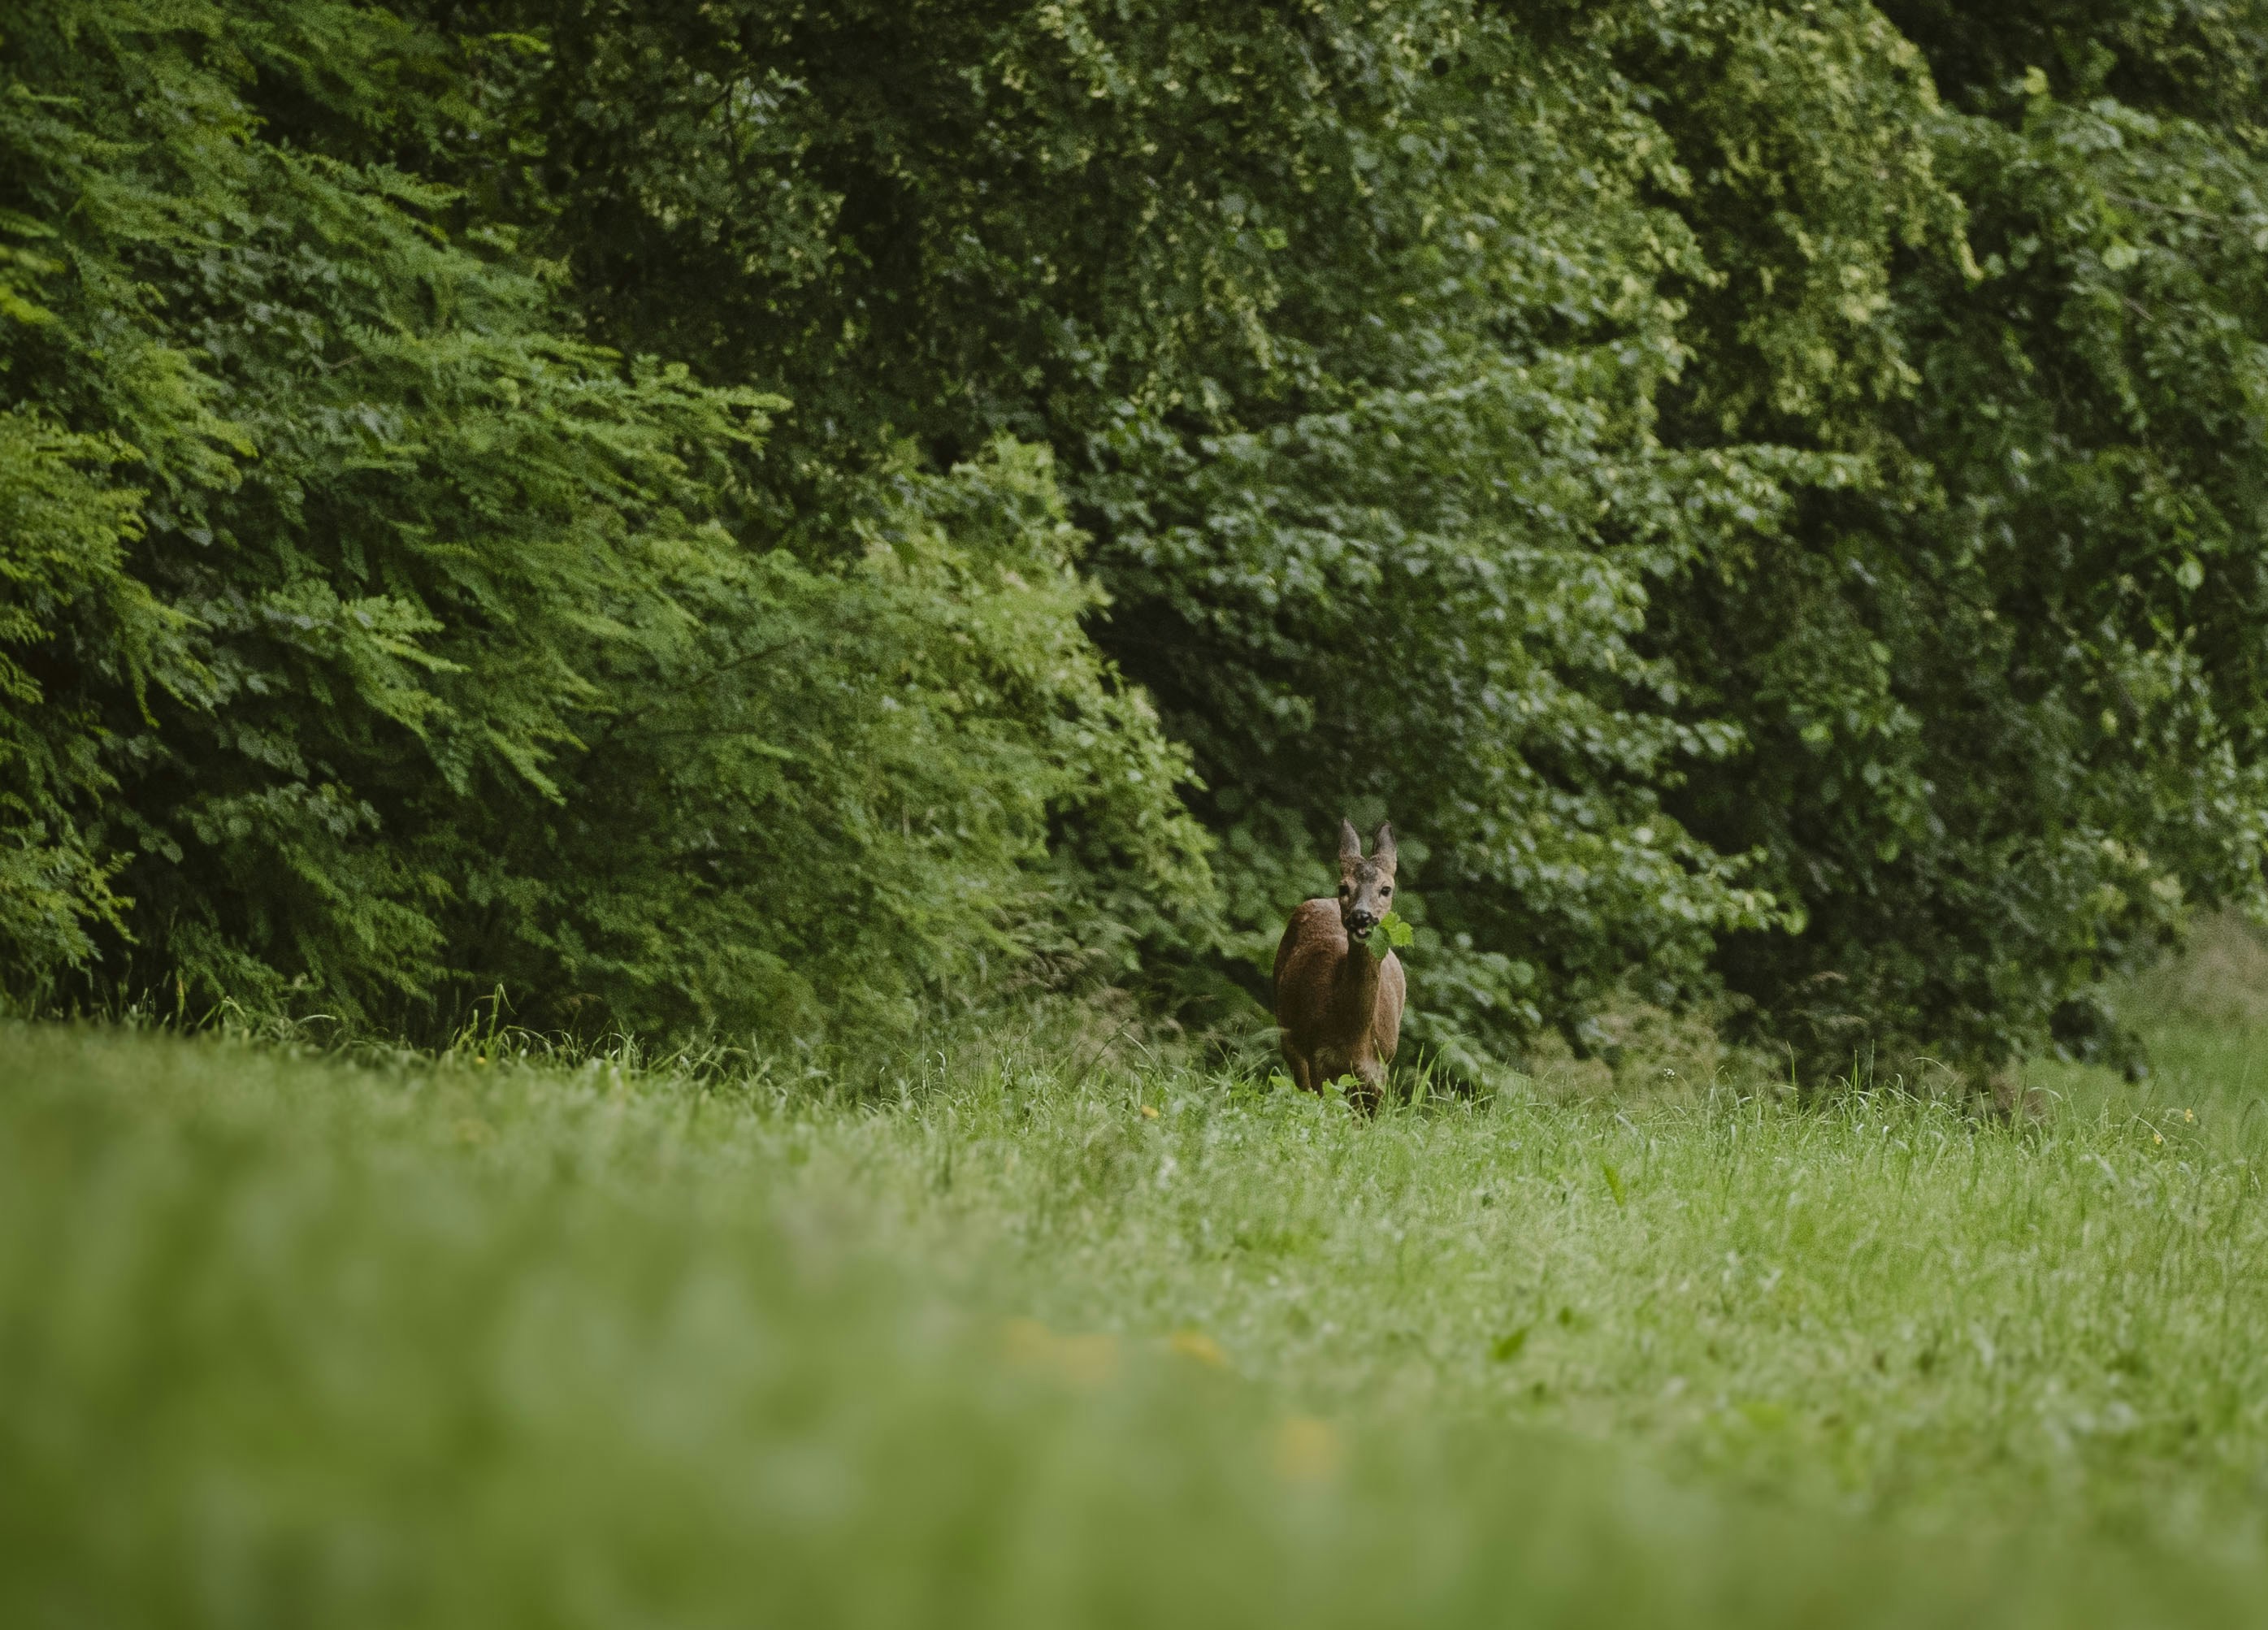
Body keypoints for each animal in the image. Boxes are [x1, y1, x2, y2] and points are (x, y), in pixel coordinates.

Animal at [1273, 819, 1405, 1112]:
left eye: (1386, 889)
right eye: (1343, 887)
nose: (1361, 916)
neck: (1355, 1038)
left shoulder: (1380, 1068)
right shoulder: (1319, 1057)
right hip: (1288, 1035)